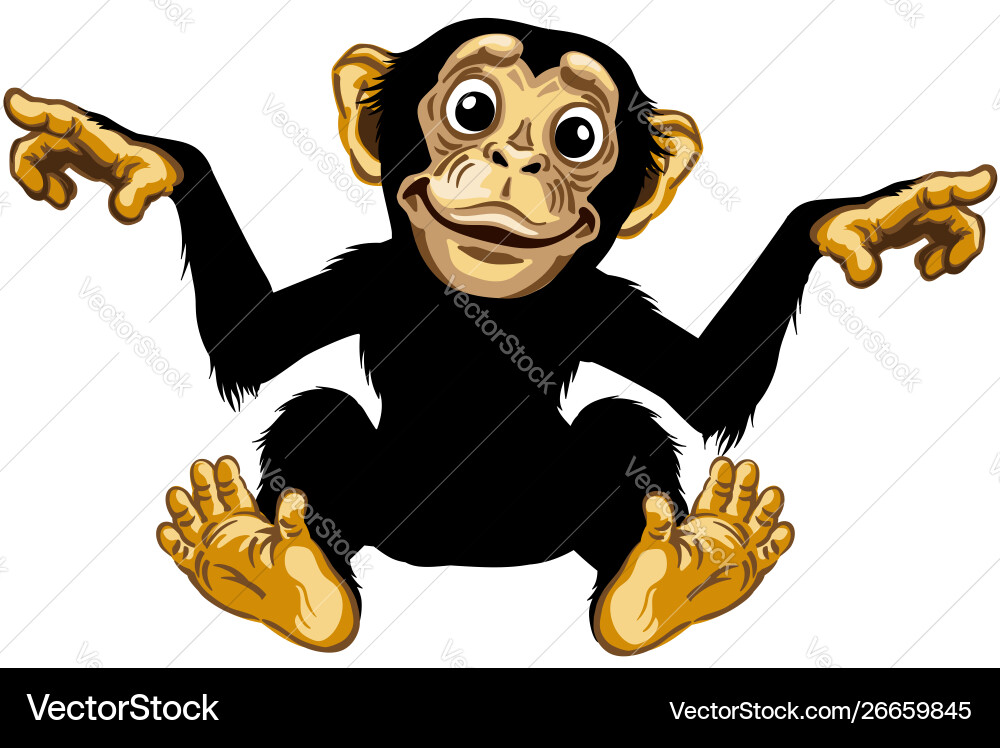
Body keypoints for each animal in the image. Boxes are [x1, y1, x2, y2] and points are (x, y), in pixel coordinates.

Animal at [4, 18, 995, 655]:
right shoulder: (375, 276)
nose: (517, 159)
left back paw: (657, 589)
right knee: (319, 414)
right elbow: (256, 345)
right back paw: (291, 582)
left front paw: (859, 219)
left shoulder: (596, 299)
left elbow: (707, 385)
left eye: (577, 135)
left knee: (620, 427)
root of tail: (472, 555)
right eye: (473, 109)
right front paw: (137, 155)